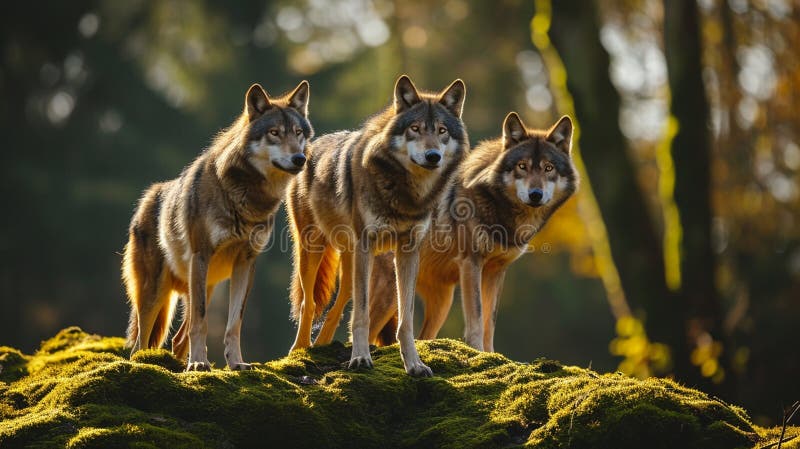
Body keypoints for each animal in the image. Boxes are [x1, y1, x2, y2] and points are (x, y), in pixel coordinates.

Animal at [123, 81, 312, 371]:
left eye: (298, 132)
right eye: (274, 133)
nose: (300, 158)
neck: (248, 195)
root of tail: (146, 200)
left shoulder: (246, 262)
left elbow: (234, 324)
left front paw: (236, 363)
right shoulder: (201, 255)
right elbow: (201, 322)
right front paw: (199, 363)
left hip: (203, 285)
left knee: (178, 339)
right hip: (156, 294)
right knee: (140, 342)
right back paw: (149, 362)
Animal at [286, 75, 467, 376]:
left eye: (442, 130)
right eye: (415, 128)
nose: (433, 156)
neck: (406, 194)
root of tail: (310, 147)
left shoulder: (408, 251)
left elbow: (405, 319)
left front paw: (414, 364)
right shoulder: (367, 245)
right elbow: (361, 315)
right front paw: (360, 359)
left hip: (351, 265)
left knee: (337, 307)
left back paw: (322, 345)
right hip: (312, 251)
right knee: (308, 303)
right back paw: (300, 350)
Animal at [316, 113, 578, 352]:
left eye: (548, 168)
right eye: (522, 166)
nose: (536, 195)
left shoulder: (496, 271)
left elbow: (489, 324)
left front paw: (490, 356)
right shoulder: (471, 263)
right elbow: (476, 319)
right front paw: (478, 353)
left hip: (441, 302)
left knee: (421, 336)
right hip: (389, 293)